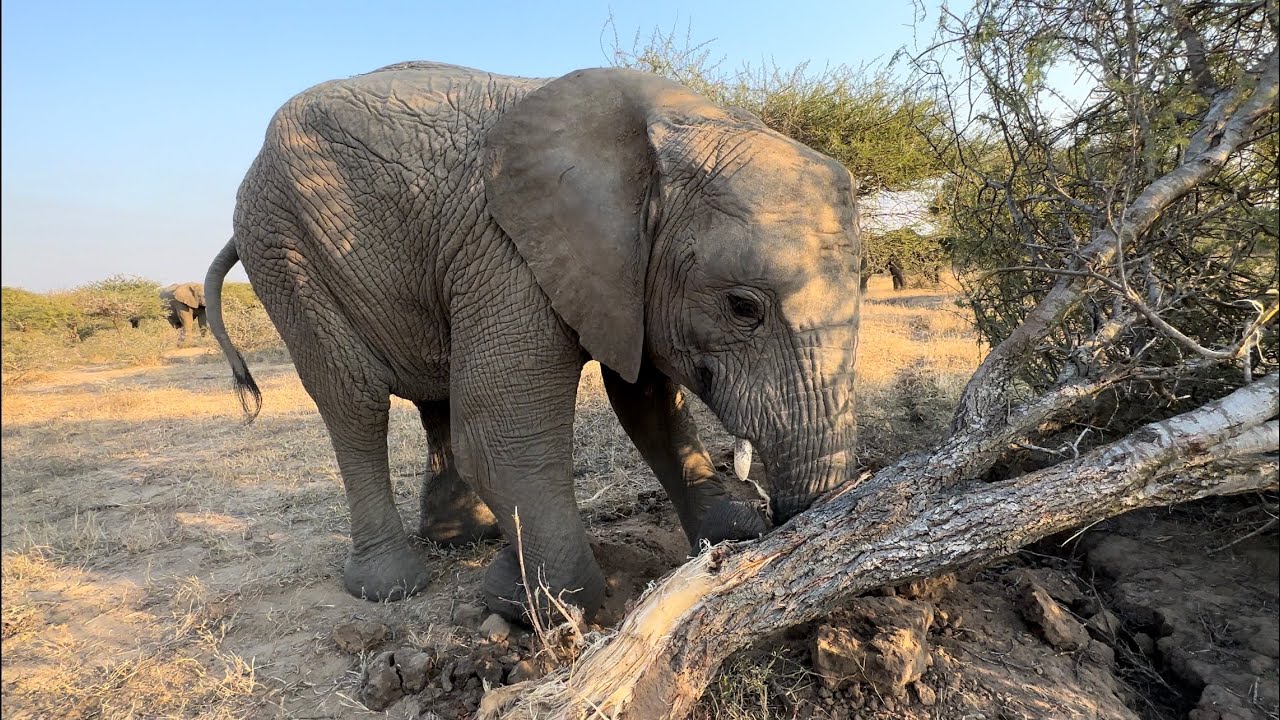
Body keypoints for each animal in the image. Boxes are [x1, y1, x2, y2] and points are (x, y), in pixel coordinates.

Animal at [205, 61, 860, 621]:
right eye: (742, 307)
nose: (778, 522)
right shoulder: (508, 251)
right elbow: (504, 430)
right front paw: (528, 607)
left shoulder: (622, 270)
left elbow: (645, 399)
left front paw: (728, 535)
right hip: (285, 248)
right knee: (355, 400)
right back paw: (391, 586)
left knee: (435, 394)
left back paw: (467, 538)